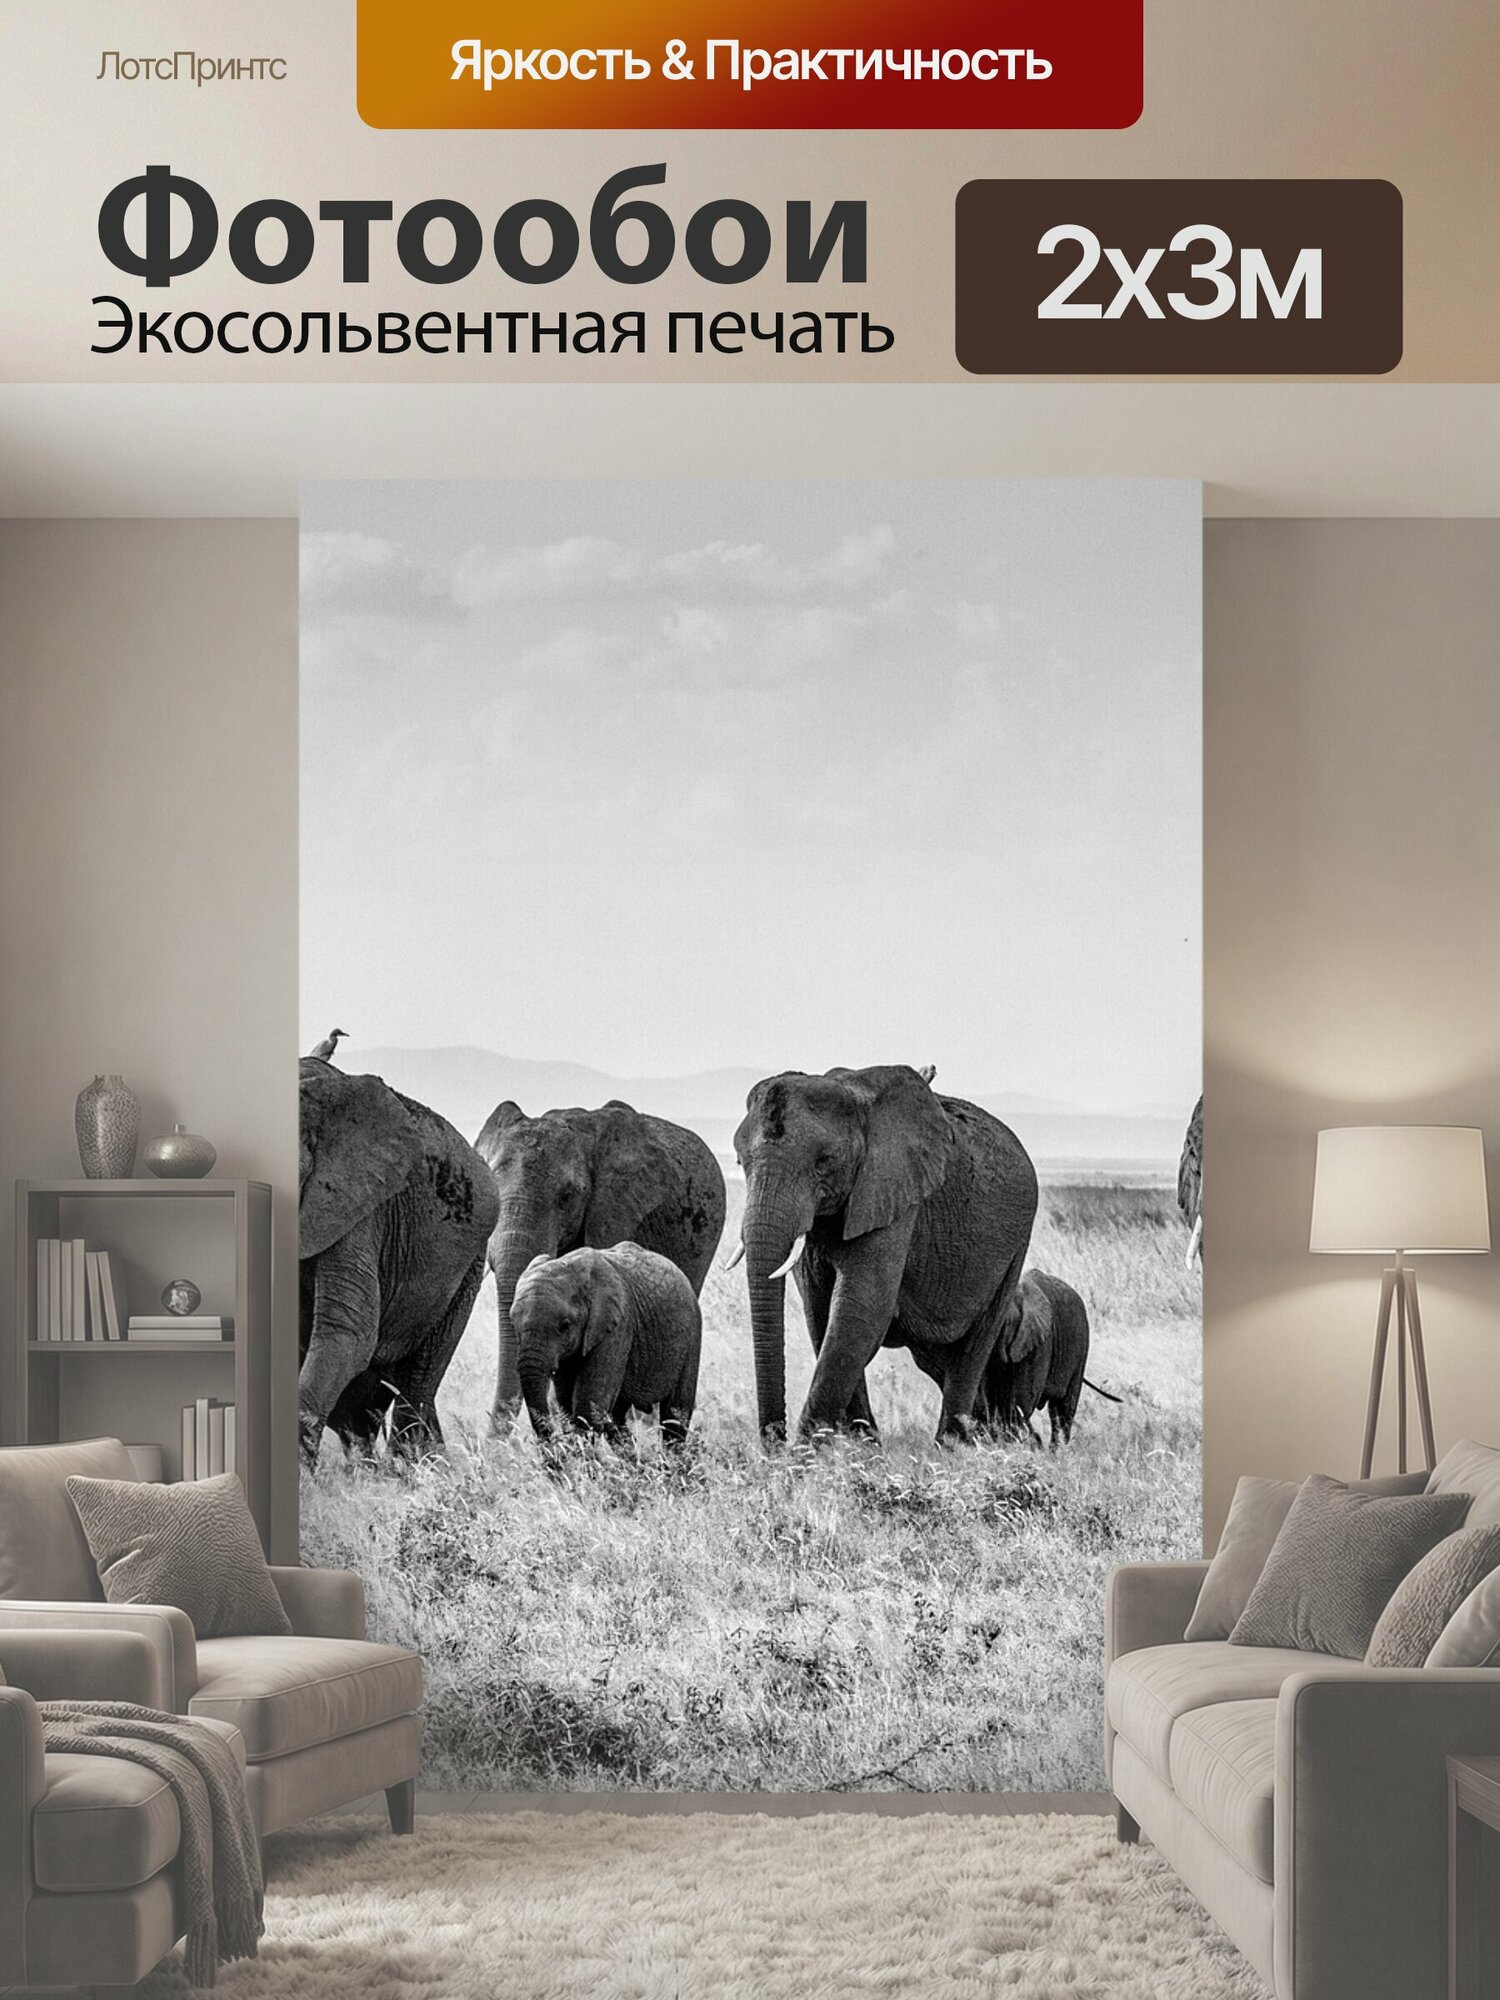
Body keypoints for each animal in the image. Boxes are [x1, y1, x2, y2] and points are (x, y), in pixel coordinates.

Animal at [511, 1243, 702, 1445]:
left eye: (564, 1326)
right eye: (513, 1324)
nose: (552, 1440)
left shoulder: (618, 1325)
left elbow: (588, 1406)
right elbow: (566, 1403)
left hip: (692, 1333)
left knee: (675, 1415)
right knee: (616, 1417)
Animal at [732, 1063, 1039, 1442]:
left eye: (824, 1161)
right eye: (740, 1161)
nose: (775, 1441)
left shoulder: (895, 1193)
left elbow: (861, 1307)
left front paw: (809, 1450)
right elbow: (821, 1310)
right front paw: (861, 1444)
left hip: (1015, 1246)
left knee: (973, 1345)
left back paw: (954, 1443)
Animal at [981, 1269, 1118, 1447]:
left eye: (1002, 1321)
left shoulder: (1040, 1340)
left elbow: (1024, 1397)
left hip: (1081, 1346)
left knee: (1063, 1408)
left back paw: (1059, 1450)